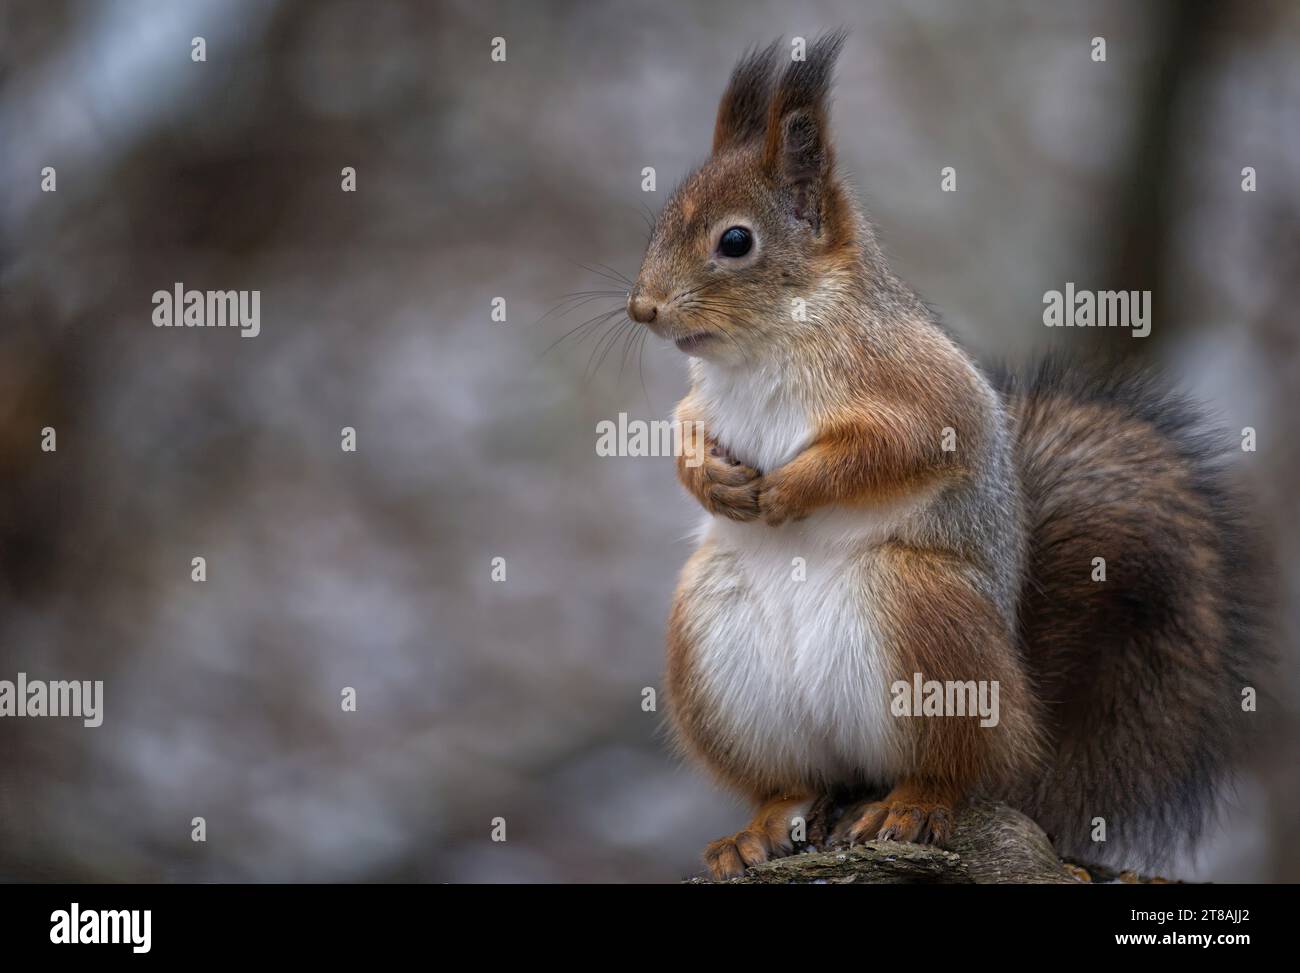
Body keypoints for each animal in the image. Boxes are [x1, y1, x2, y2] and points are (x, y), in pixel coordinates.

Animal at [625, 32, 1265, 881]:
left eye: (736, 241)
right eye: (664, 218)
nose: (643, 308)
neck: (765, 343)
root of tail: (1026, 722)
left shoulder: (918, 388)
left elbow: (897, 446)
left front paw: (793, 488)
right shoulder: (704, 401)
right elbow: (684, 431)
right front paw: (712, 479)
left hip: (922, 616)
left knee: (955, 766)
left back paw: (913, 803)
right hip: (719, 652)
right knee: (792, 780)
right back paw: (759, 827)